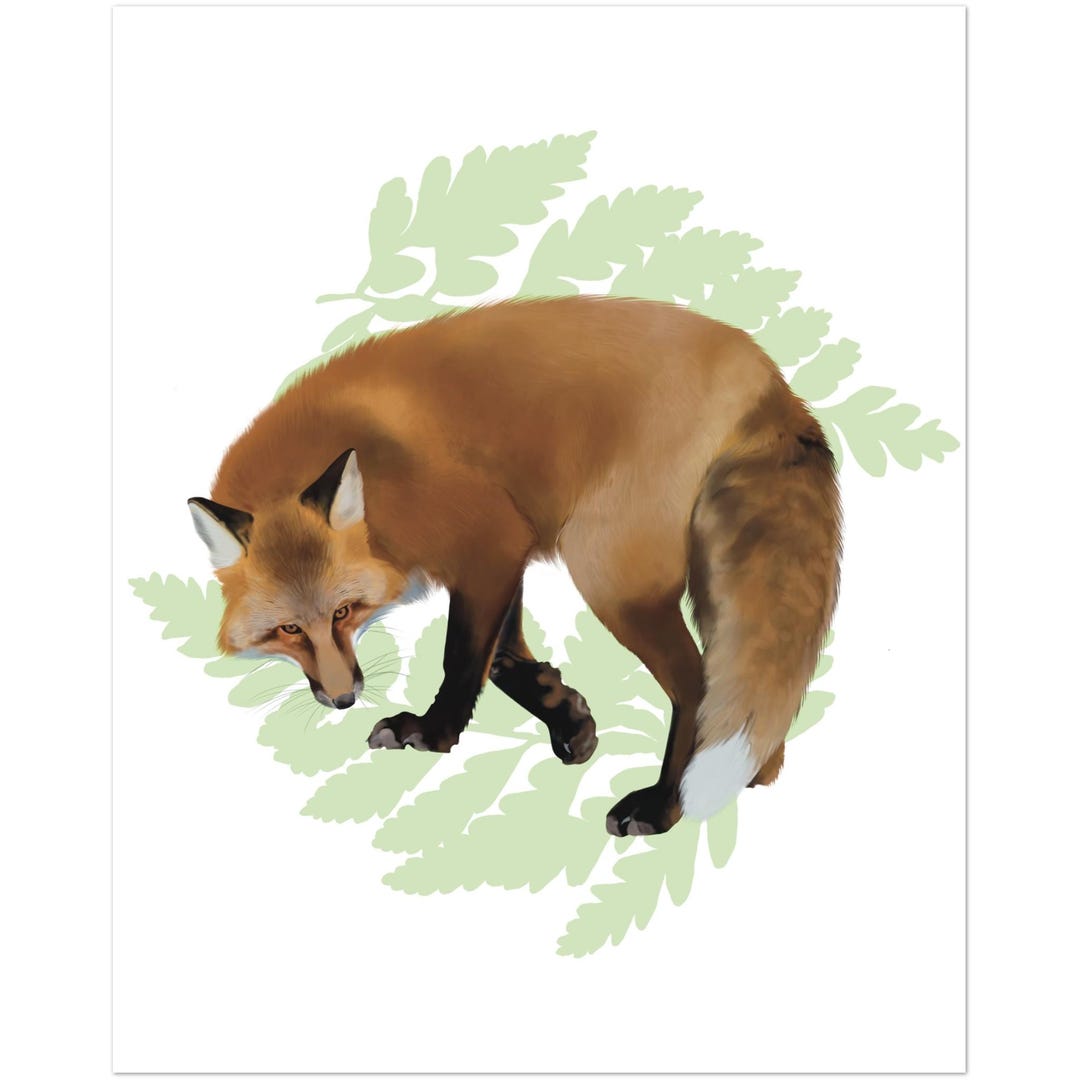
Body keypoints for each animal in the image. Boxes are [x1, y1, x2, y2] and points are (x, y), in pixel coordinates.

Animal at [188, 296, 841, 835]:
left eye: (346, 611)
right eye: (289, 629)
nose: (343, 699)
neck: (381, 490)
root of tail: (769, 376)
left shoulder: (489, 538)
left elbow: (462, 658)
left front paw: (432, 733)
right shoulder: (508, 550)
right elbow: (503, 655)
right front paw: (566, 715)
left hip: (606, 570)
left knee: (699, 684)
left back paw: (663, 805)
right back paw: (756, 771)